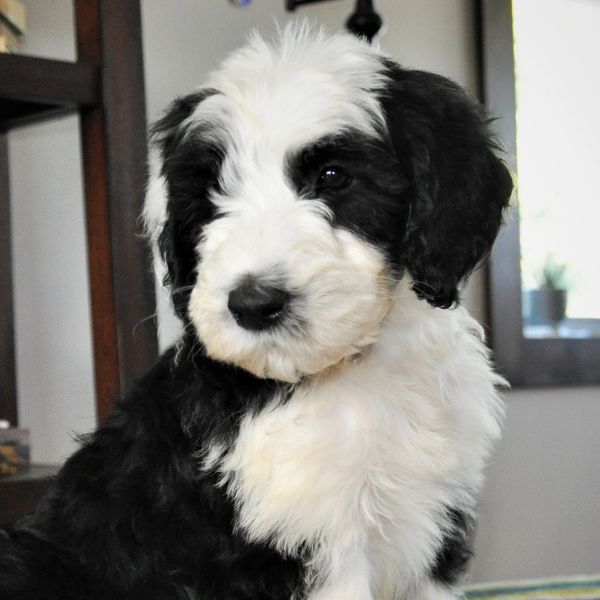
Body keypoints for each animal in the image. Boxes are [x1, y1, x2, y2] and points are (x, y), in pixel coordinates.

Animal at [2, 23, 512, 600]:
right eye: (209, 195)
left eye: (333, 176)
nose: (253, 304)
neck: (354, 375)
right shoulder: (308, 541)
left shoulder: (435, 522)